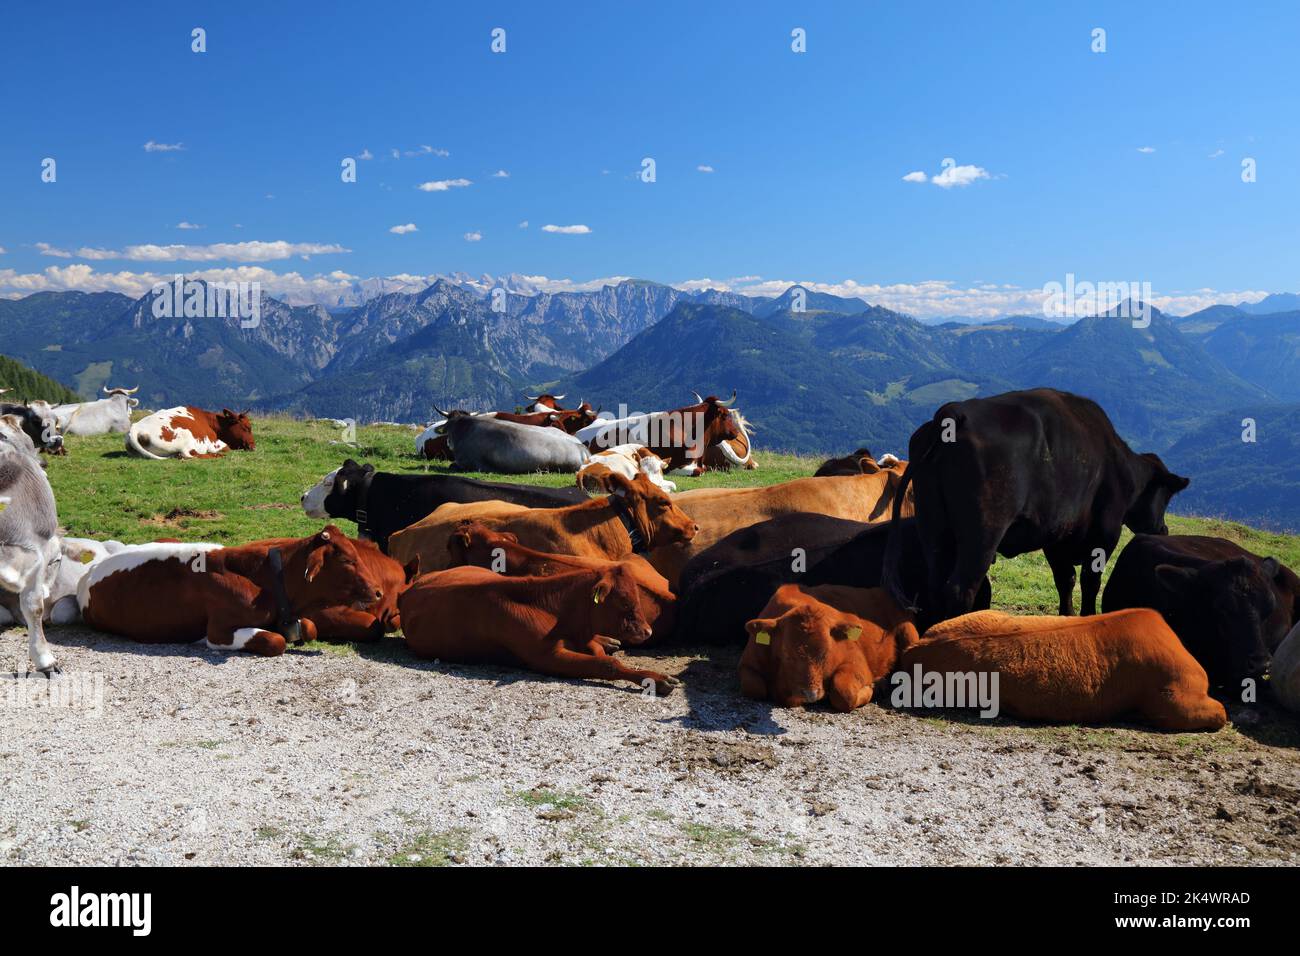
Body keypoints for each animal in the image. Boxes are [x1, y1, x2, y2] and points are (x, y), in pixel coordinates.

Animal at [76, 527, 383, 656]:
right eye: (347, 560)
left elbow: (310, 627)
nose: (379, 592)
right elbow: (275, 641)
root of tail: (91, 571)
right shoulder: (220, 631)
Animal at [126, 406, 255, 460]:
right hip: (185, 436)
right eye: (247, 428)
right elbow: (227, 448)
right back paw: (216, 456)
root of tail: (135, 428)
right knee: (188, 455)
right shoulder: (214, 443)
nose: (253, 446)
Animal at [398, 564, 679, 695]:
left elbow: (598, 652)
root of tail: (410, 589)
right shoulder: (547, 657)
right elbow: (605, 665)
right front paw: (655, 679)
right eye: (624, 601)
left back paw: (609, 640)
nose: (648, 631)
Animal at [741, 585, 918, 711]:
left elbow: (844, 694)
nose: (811, 694)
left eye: (826, 654)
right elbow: (754, 687)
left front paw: (870, 689)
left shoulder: (856, 662)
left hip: (909, 632)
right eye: (787, 655)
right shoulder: (747, 662)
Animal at [885, 389, 1189, 621]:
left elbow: (1065, 580)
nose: (1163, 530)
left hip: (934, 529)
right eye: (1167, 495)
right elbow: (1090, 582)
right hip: (982, 534)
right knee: (960, 589)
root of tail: (953, 413)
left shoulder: (1056, 537)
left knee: (936, 585)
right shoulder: (1104, 533)